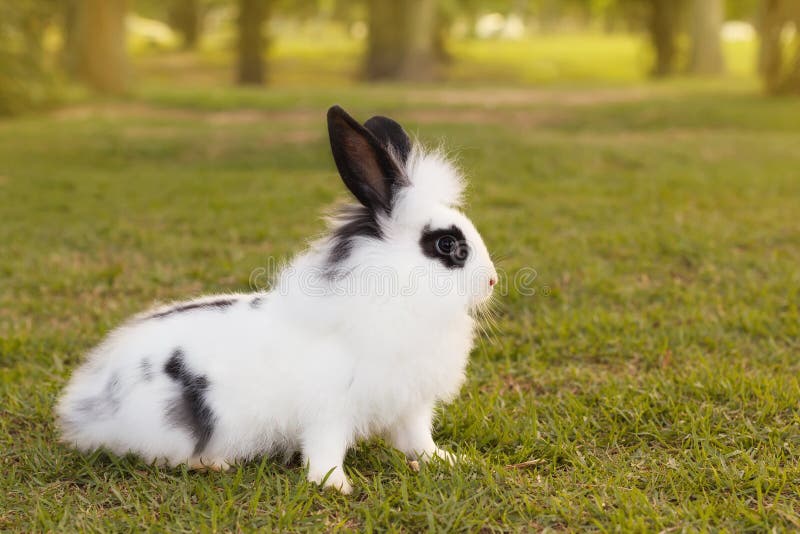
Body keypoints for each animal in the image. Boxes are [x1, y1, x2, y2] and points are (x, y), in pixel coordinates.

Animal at [56, 105, 498, 494]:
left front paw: (450, 460)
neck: (396, 296)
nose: (492, 281)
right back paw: (212, 463)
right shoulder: (329, 411)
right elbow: (325, 450)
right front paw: (335, 485)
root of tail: (90, 398)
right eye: (446, 245)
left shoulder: (410, 405)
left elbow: (418, 442)